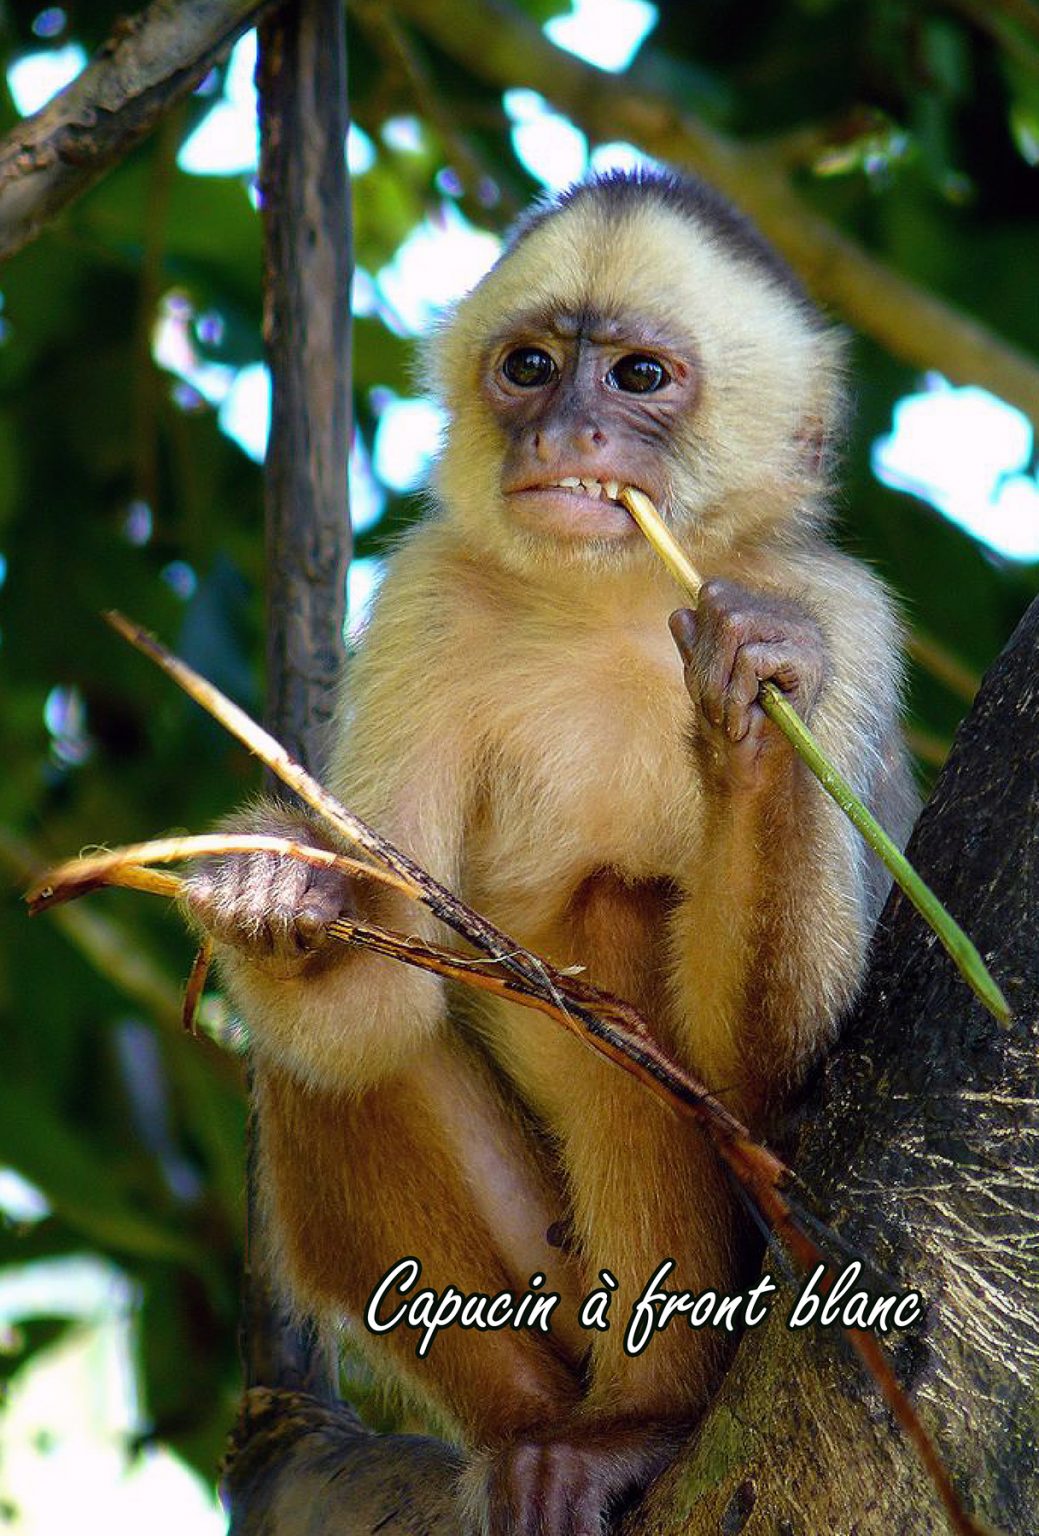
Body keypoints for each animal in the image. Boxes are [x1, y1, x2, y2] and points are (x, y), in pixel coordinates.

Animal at [186, 169, 918, 1535]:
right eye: (529, 367)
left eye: (635, 377)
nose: (565, 432)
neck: (613, 601)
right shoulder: (425, 598)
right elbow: (373, 988)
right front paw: (273, 892)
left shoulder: (846, 617)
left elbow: (770, 1082)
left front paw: (754, 708)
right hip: (546, 1293)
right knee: (349, 1057)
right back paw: (530, 1426)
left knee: (618, 933)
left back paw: (643, 1421)